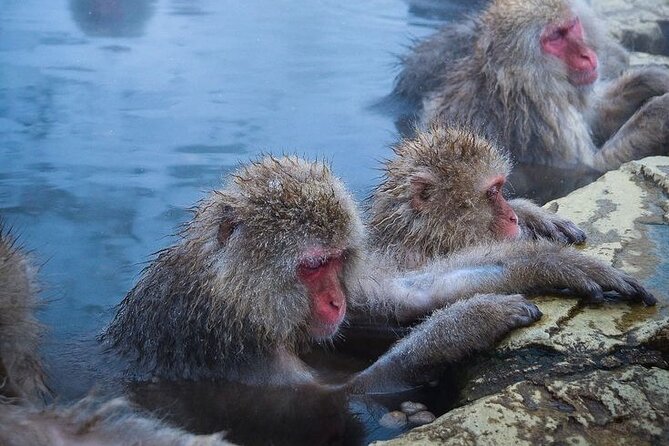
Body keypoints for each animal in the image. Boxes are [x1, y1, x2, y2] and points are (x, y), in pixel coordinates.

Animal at [101, 156, 654, 395]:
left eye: (338, 260)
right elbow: (341, 393)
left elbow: (404, 295)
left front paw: (557, 264)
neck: (236, 293)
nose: (335, 303)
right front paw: (475, 320)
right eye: (312, 266)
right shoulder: (227, 339)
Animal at [393, 0, 669, 172]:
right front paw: (659, 113)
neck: (523, 84)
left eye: (572, 26)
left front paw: (652, 78)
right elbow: (589, 167)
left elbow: (596, 114)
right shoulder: (540, 123)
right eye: (555, 37)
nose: (587, 56)